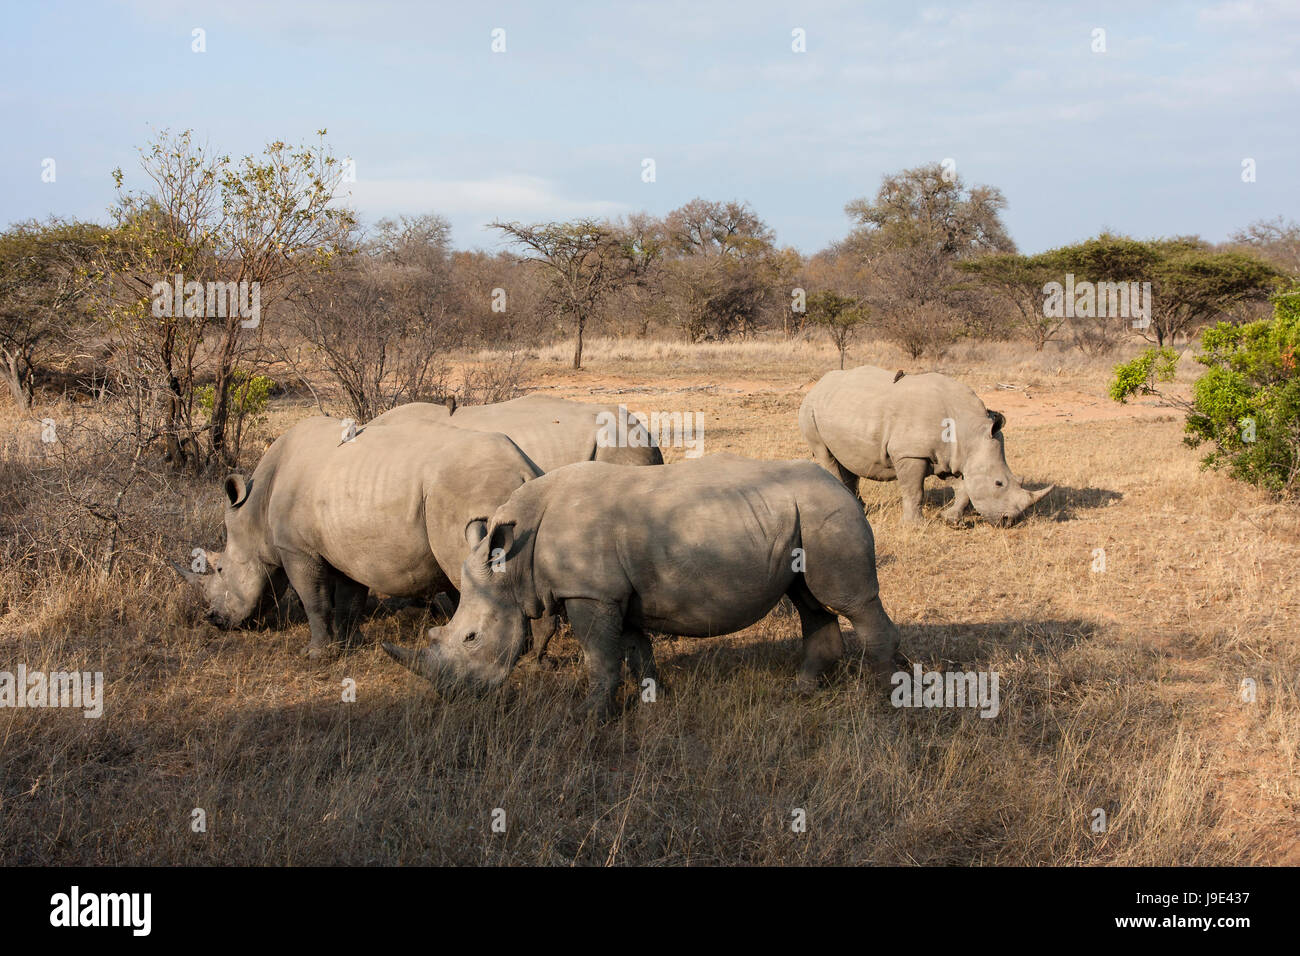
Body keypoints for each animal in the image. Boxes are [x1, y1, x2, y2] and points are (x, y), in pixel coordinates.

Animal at [173, 415, 540, 659]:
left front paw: (316, 654)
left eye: (221, 570)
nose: (213, 620)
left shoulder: (296, 549)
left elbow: (314, 599)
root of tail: (523, 467)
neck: (254, 511)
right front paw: (351, 644)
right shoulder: (348, 546)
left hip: (465, 494)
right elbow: (349, 600)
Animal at [383, 455, 901, 720]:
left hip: (828, 514)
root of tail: (838, 486)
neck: (514, 564)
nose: (455, 698)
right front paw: (655, 698)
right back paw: (801, 692)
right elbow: (634, 650)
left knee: (851, 602)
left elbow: (600, 657)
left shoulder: (589, 592)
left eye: (472, 638)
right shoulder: (615, 594)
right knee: (812, 603)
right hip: (803, 518)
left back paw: (880, 703)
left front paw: (587, 717)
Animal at [799, 365, 1053, 526]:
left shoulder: (948, 456)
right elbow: (914, 491)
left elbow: (963, 488)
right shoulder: (911, 453)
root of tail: (818, 384)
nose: (1008, 521)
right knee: (826, 456)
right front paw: (914, 526)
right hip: (809, 408)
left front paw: (951, 520)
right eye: (998, 483)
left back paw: (859, 509)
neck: (970, 430)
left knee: (848, 463)